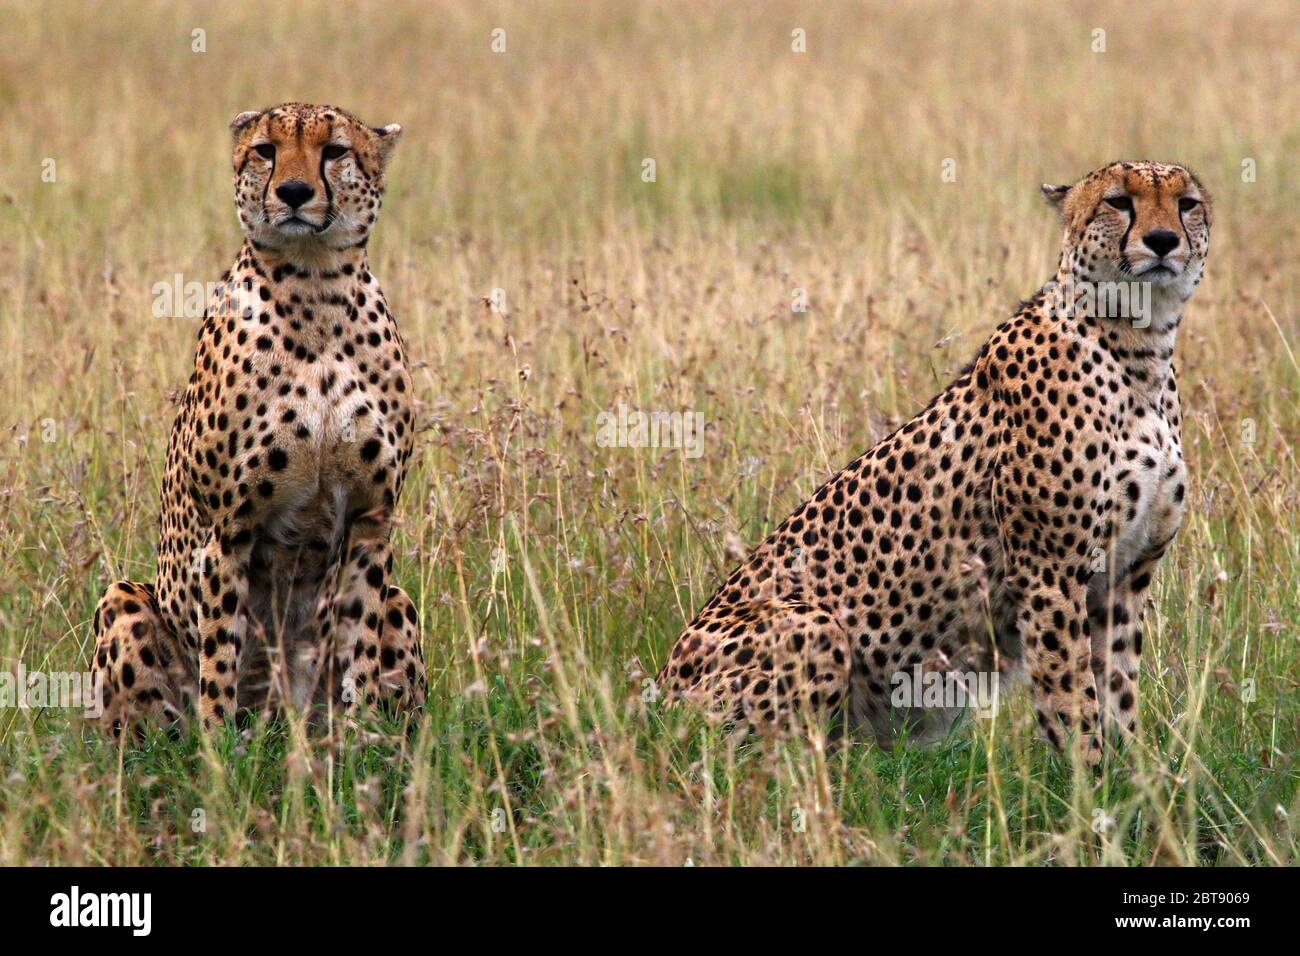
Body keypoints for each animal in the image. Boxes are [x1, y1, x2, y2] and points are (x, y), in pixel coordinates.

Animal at [90, 103, 426, 740]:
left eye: (335, 151)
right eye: (266, 150)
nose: (294, 192)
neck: (317, 286)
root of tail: (278, 716)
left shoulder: (373, 517)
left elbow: (361, 639)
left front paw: (364, 738)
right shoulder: (229, 527)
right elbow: (222, 647)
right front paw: (221, 749)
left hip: (399, 603)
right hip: (124, 600)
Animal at [658, 161, 1212, 766]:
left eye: (1186, 204)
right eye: (1117, 202)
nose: (1162, 241)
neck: (1138, 345)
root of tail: (656, 695)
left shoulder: (1125, 574)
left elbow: (1118, 689)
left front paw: (1135, 776)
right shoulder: (1049, 572)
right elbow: (1070, 694)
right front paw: (1087, 779)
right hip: (812, 625)